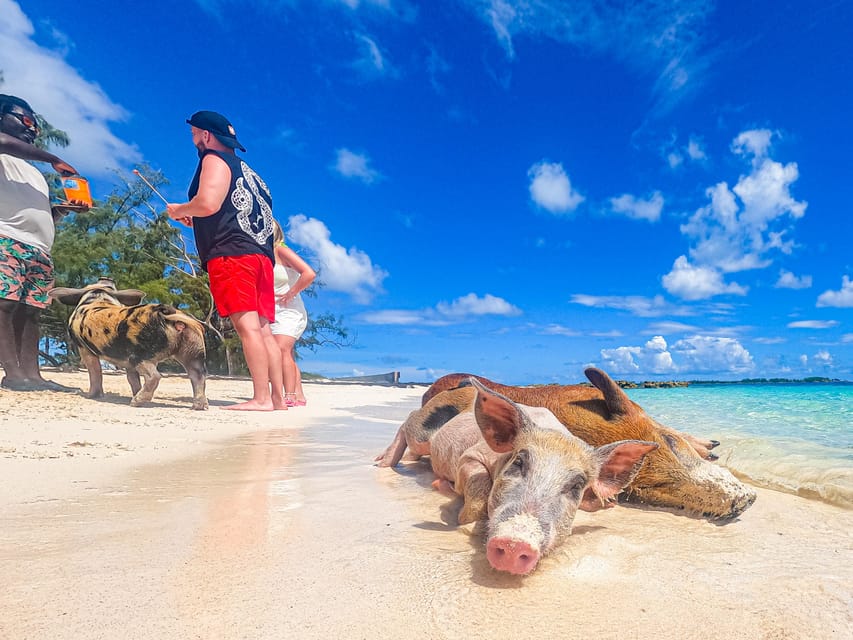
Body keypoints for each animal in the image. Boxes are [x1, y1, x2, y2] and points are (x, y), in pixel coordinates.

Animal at [48, 277, 208, 410]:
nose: (105, 277)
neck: (98, 297)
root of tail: (167, 312)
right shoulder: (126, 362)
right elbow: (132, 379)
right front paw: (134, 391)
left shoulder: (84, 349)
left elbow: (95, 372)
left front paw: (91, 396)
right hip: (193, 350)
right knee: (198, 376)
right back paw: (199, 406)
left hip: (141, 354)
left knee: (155, 376)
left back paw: (136, 402)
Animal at [378, 378, 658, 575]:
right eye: (519, 462)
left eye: (577, 486)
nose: (515, 543)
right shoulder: (470, 456)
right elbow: (477, 491)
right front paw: (457, 510)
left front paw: (607, 504)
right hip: (422, 433)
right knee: (407, 424)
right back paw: (381, 463)